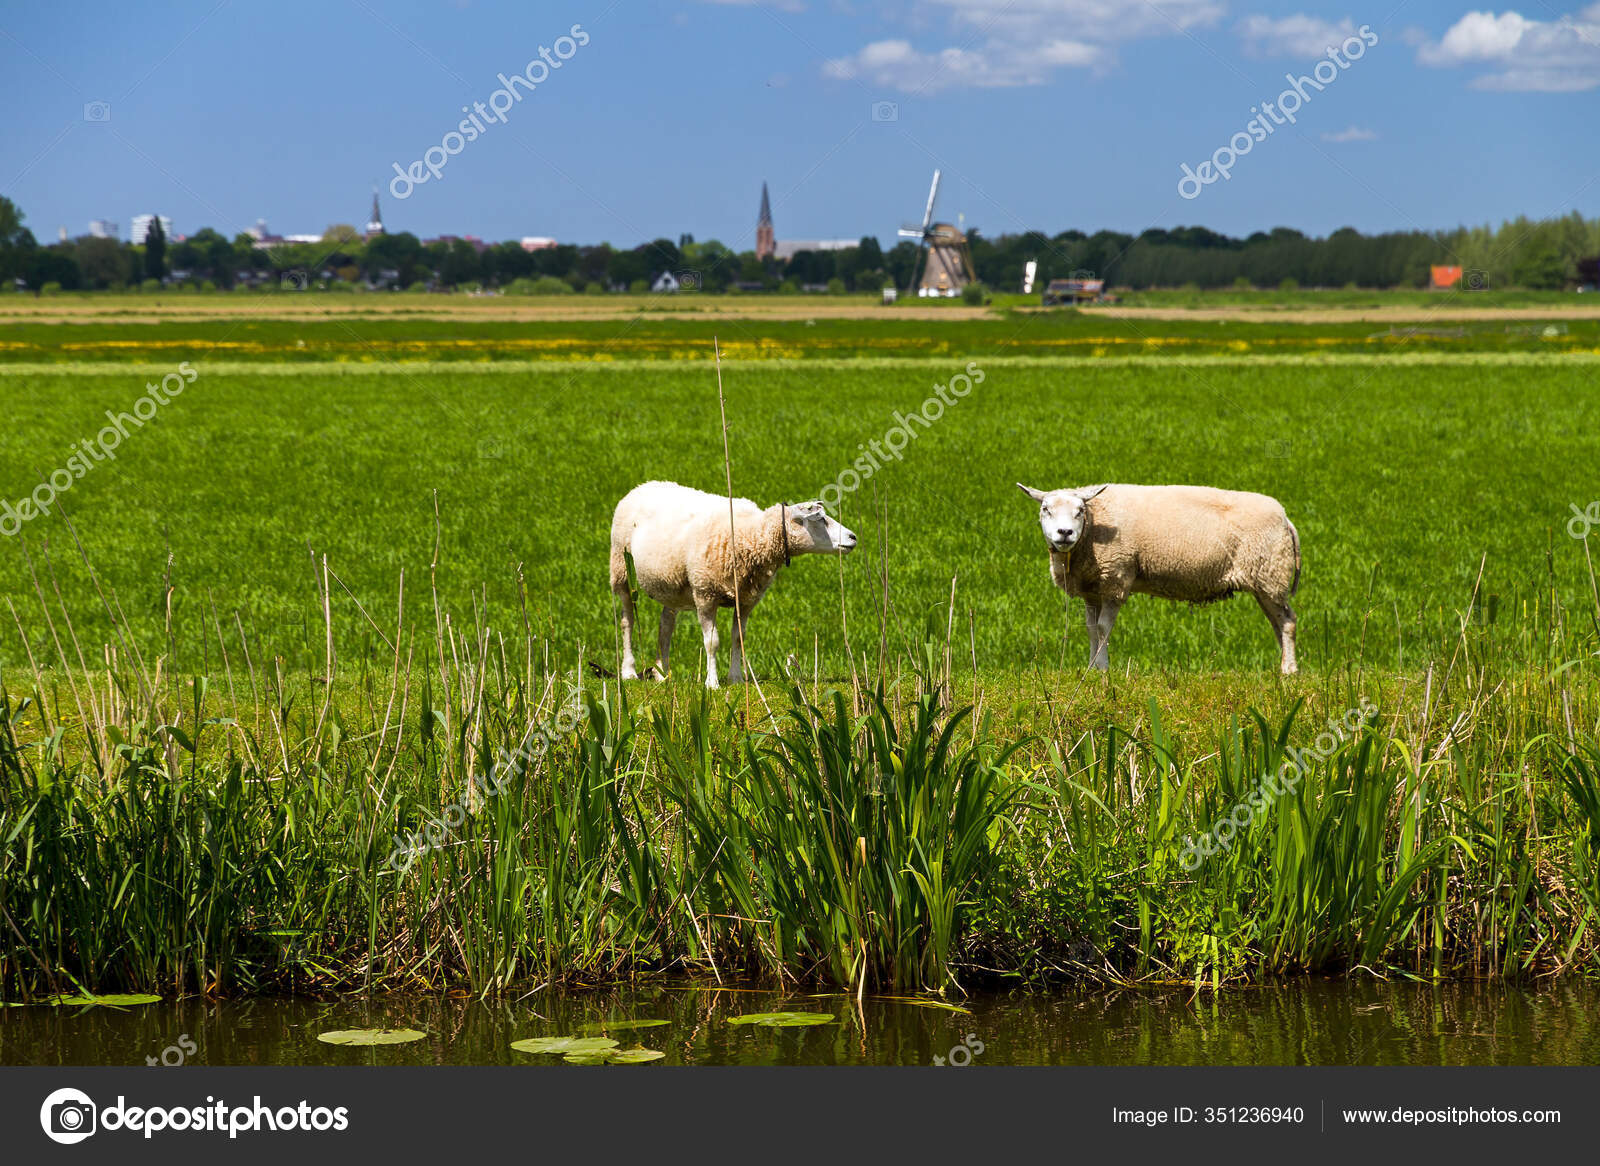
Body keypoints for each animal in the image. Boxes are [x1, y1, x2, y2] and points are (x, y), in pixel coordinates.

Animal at [609, 480, 858, 687]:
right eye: (820, 520)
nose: (853, 537)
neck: (752, 534)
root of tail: (642, 486)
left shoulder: (747, 599)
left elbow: (738, 639)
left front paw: (736, 678)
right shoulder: (705, 593)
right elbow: (712, 642)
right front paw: (712, 683)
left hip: (672, 585)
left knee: (665, 626)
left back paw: (662, 673)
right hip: (621, 568)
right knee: (627, 621)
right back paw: (629, 670)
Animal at [1016, 482, 1301, 674]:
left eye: (1080, 511)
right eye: (1045, 509)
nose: (1065, 533)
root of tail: (1285, 518)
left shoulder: (1116, 580)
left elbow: (1103, 627)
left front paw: (1103, 669)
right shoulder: (1092, 588)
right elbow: (1091, 629)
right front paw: (1091, 668)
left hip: (1270, 574)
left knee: (1287, 622)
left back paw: (1289, 670)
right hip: (1265, 580)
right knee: (1277, 623)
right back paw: (1283, 665)